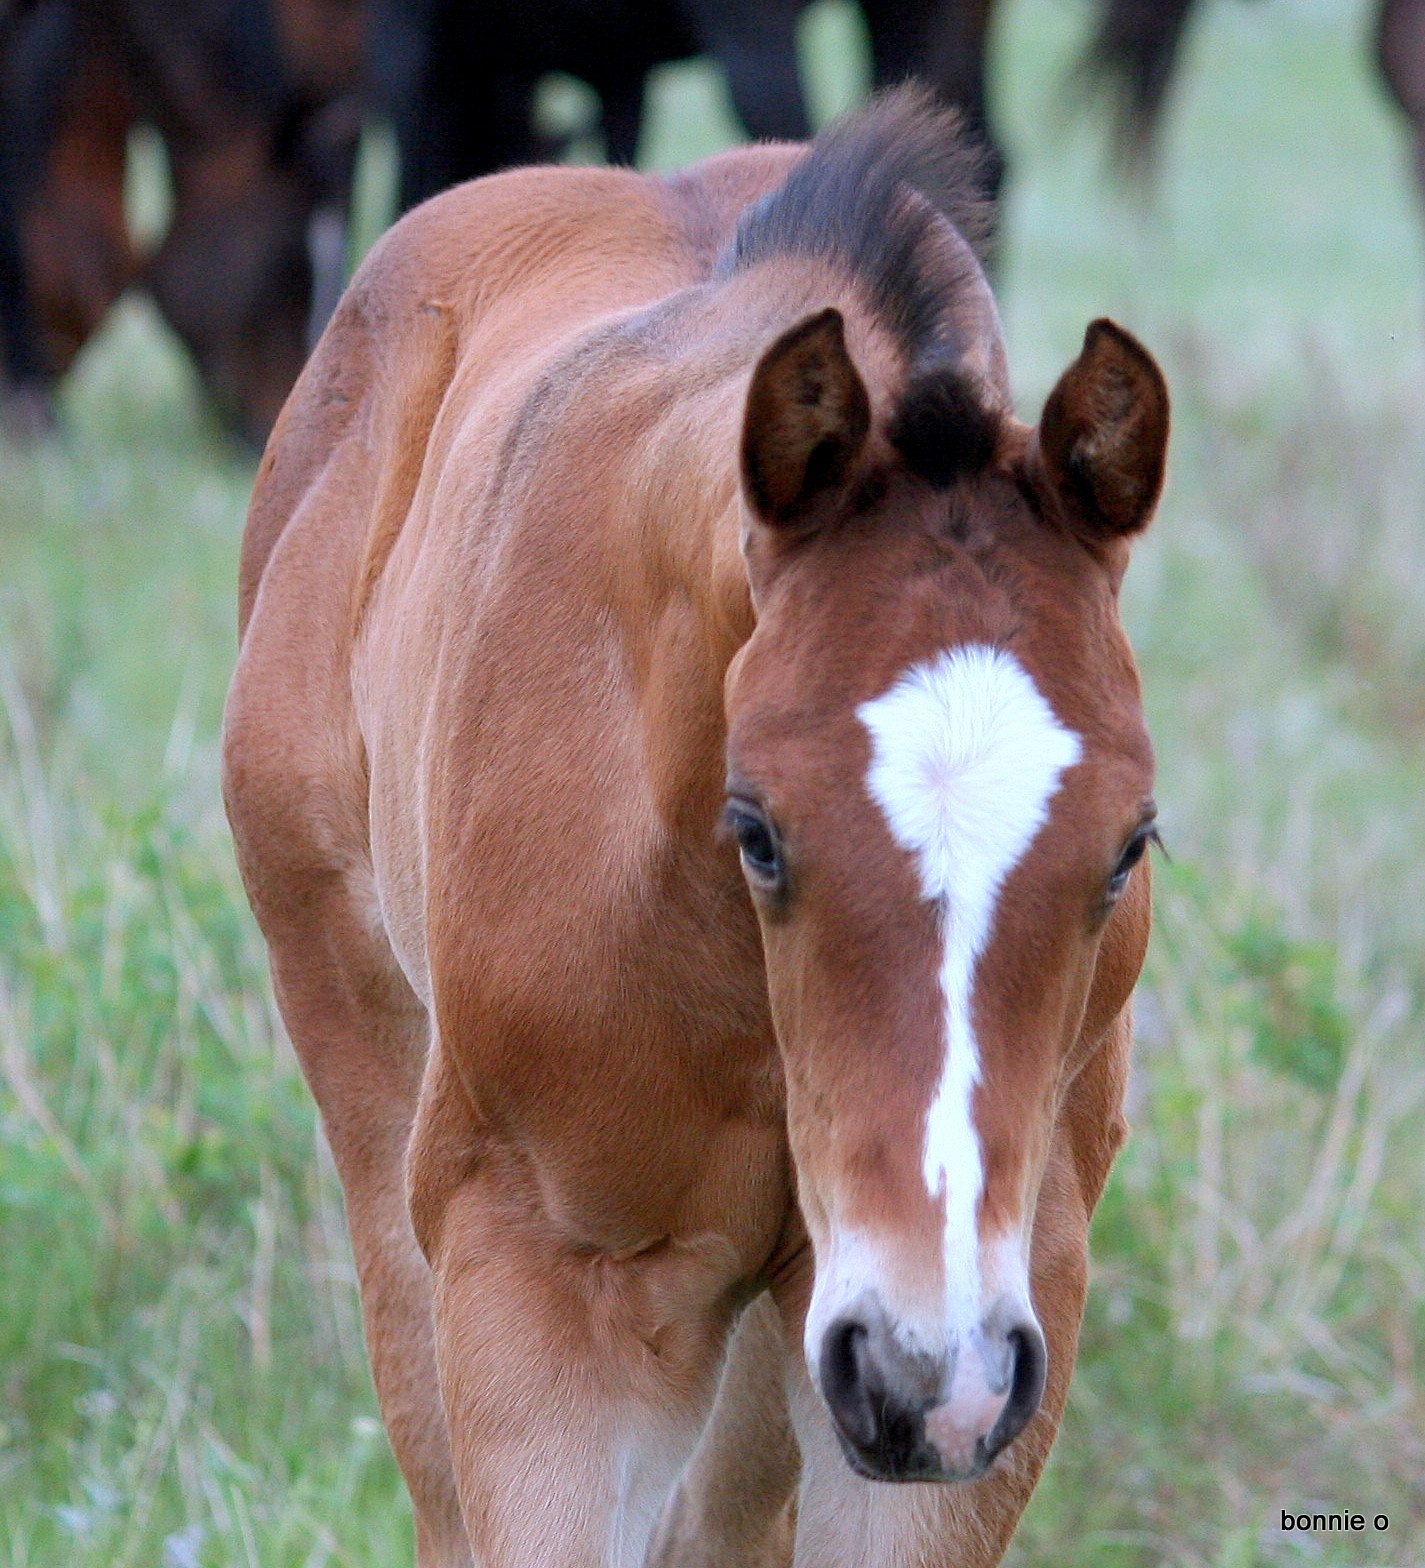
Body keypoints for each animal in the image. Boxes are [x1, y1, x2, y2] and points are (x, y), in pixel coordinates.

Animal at [222, 89, 1169, 1567]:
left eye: (1128, 845)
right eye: (759, 829)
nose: (930, 1366)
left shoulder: (990, 1335)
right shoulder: (549, 1288)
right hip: (364, 1067)